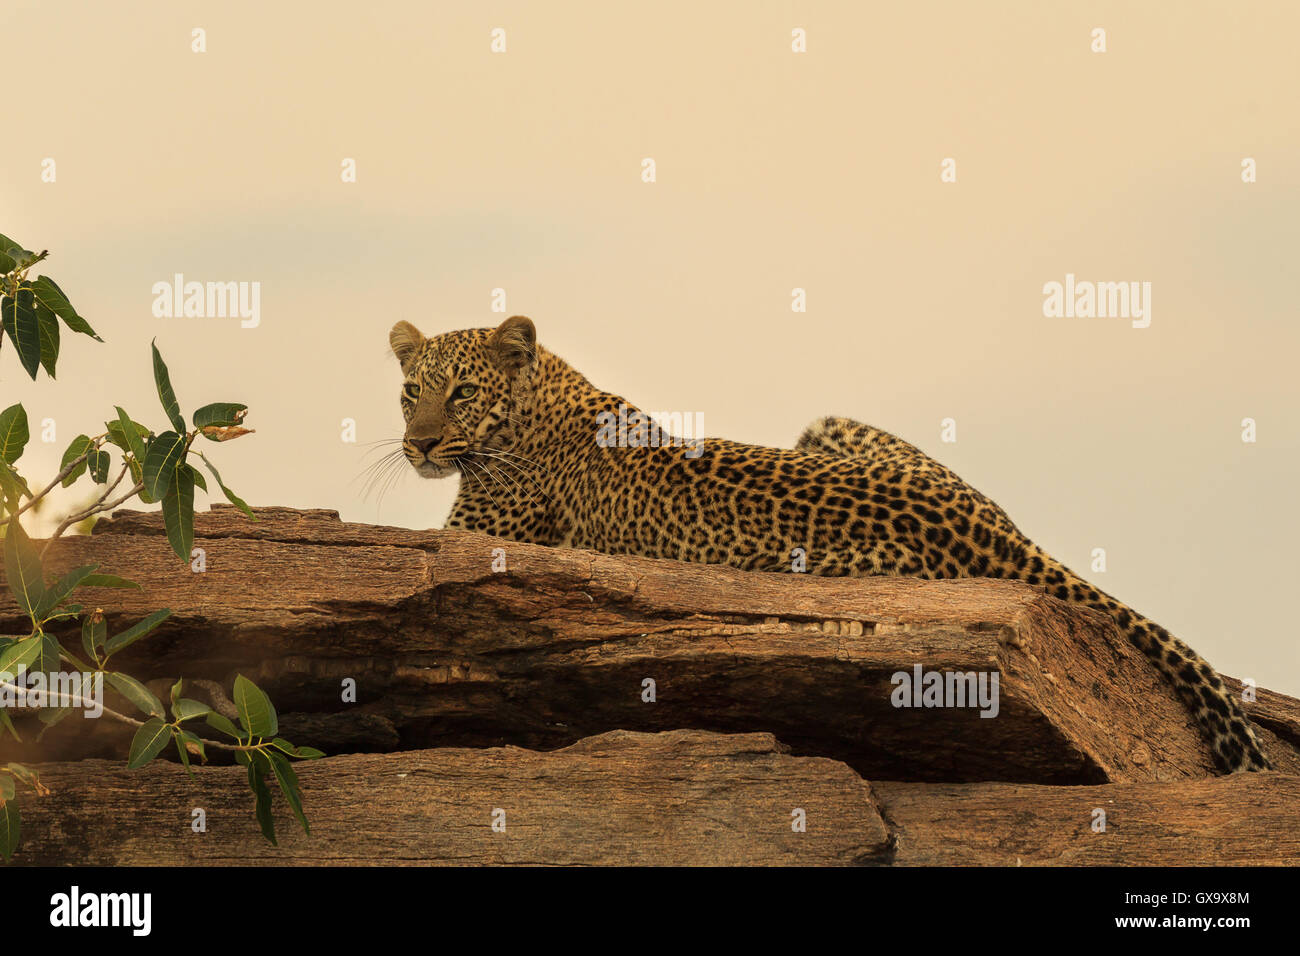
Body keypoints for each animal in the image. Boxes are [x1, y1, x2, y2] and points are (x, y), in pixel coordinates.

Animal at [386, 314, 1271, 774]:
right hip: (835, 426)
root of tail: (993, 534)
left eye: (460, 392)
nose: (418, 444)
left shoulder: (477, 533)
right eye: (408, 392)